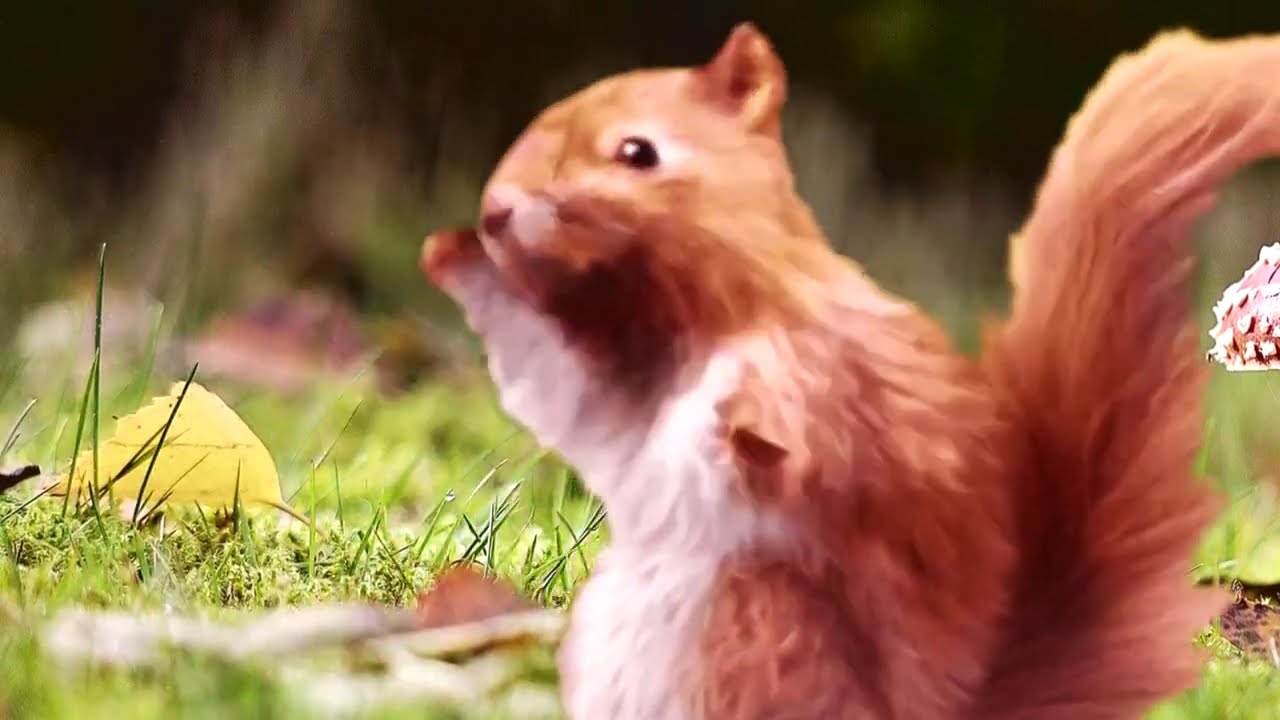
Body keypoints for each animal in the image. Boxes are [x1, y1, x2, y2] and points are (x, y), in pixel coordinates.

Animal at [421, 23, 1280, 720]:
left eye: (639, 152)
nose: (497, 208)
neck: (694, 317)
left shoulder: (830, 379)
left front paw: (741, 416)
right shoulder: (604, 394)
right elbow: (553, 390)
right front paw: (458, 258)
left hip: (749, 631)